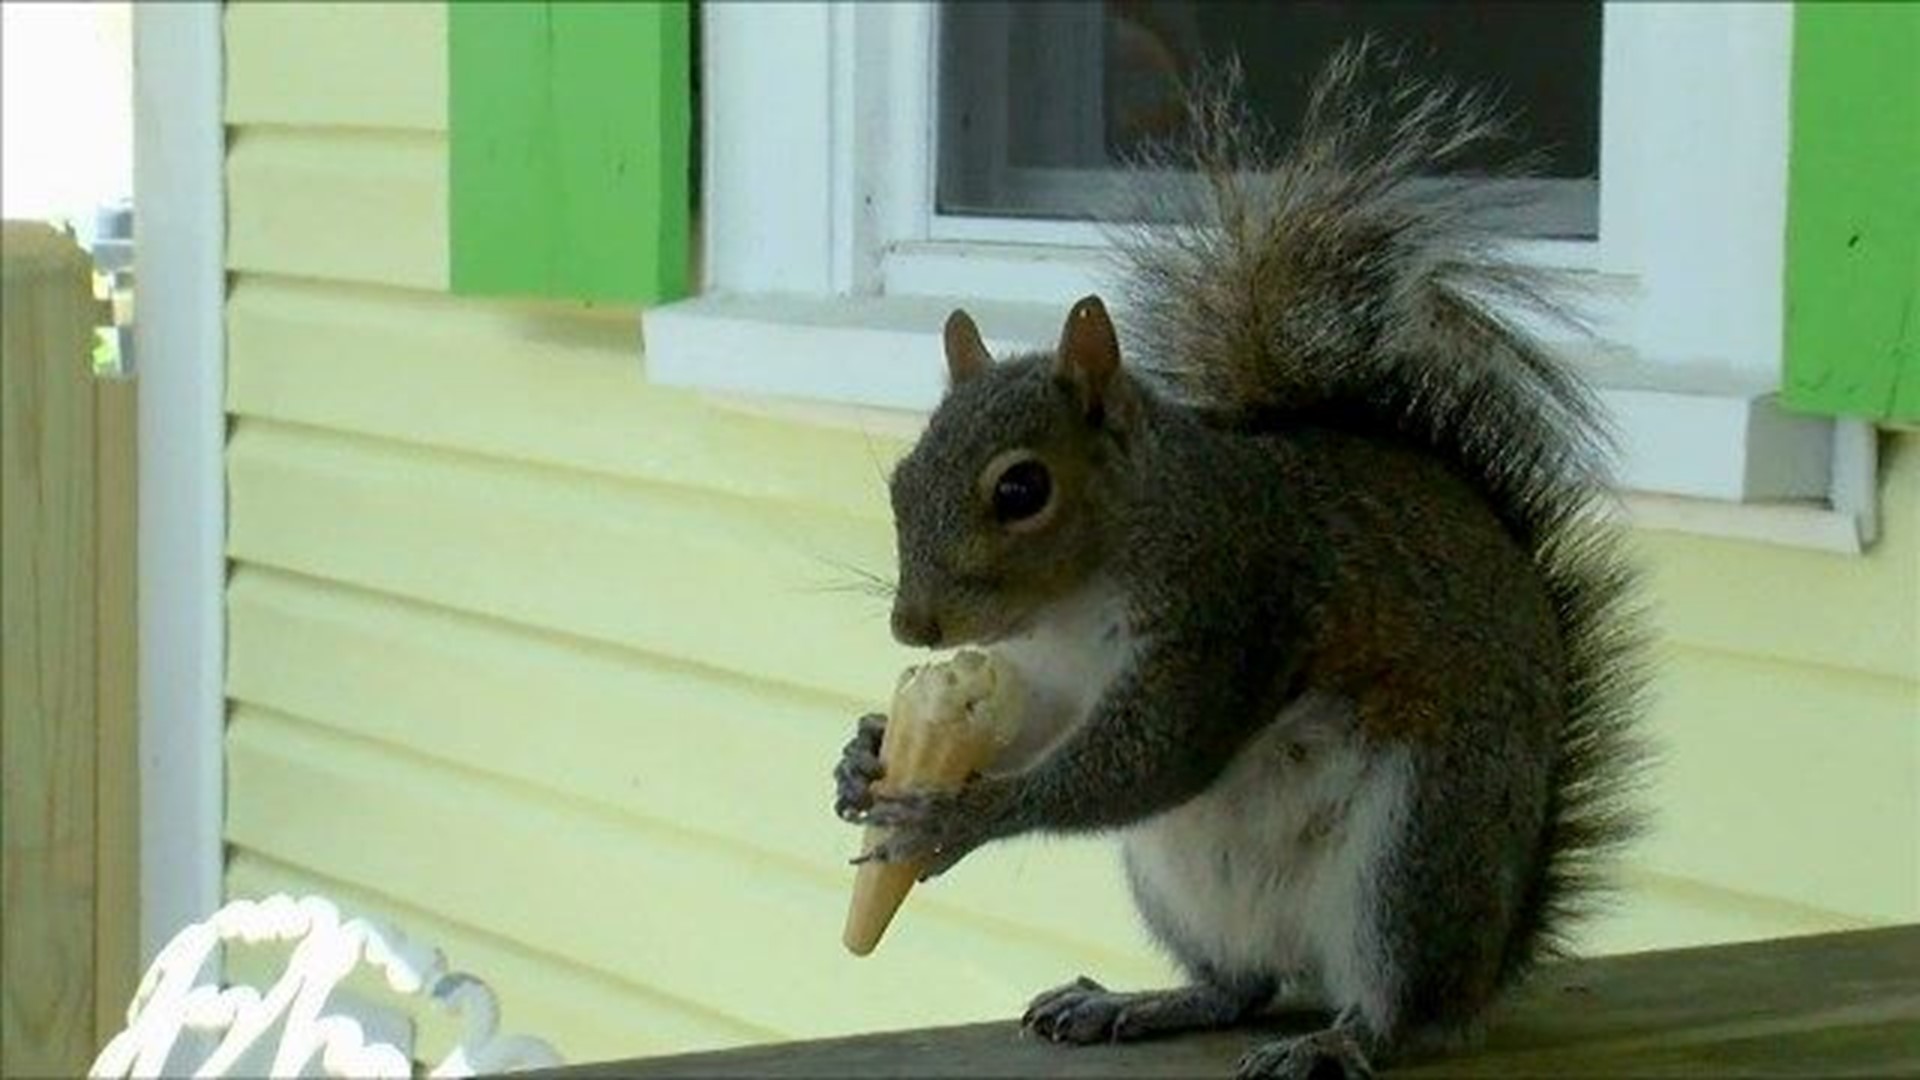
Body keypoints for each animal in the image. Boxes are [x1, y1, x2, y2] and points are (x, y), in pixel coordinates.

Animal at [832, 44, 1649, 1080]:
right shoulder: (1052, 677)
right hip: (1179, 885)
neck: (1075, 603)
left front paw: (961, 817)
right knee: (1241, 986)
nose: (913, 627)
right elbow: (1042, 726)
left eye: (1021, 490)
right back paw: (1143, 1002)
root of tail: (1489, 961)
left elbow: (1155, 752)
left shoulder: (1233, 606)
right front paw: (863, 755)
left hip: (1419, 848)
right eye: (903, 475)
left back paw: (1334, 1040)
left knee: (1401, 1009)